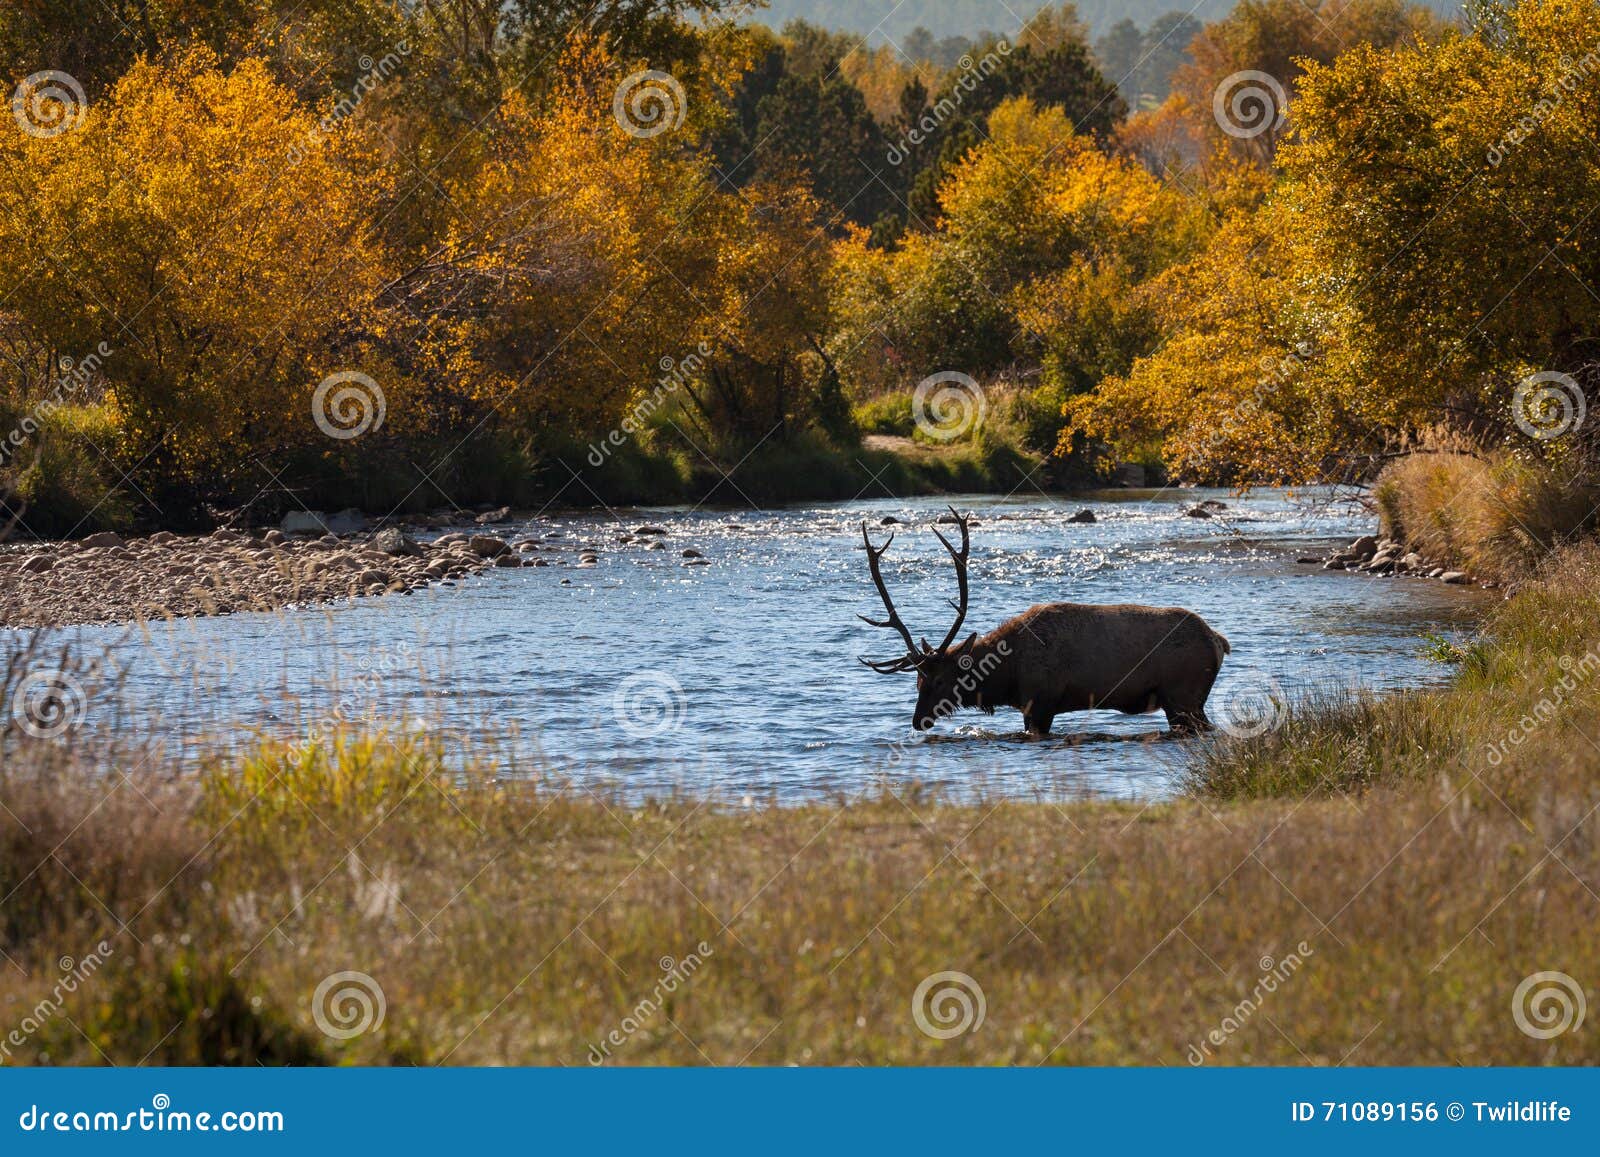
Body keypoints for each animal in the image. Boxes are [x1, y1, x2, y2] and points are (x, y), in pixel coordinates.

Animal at [859, 508, 1231, 736]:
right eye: (916, 681)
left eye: (938, 680)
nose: (917, 720)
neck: (1007, 675)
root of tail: (1218, 641)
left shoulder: (1039, 704)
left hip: (1183, 697)